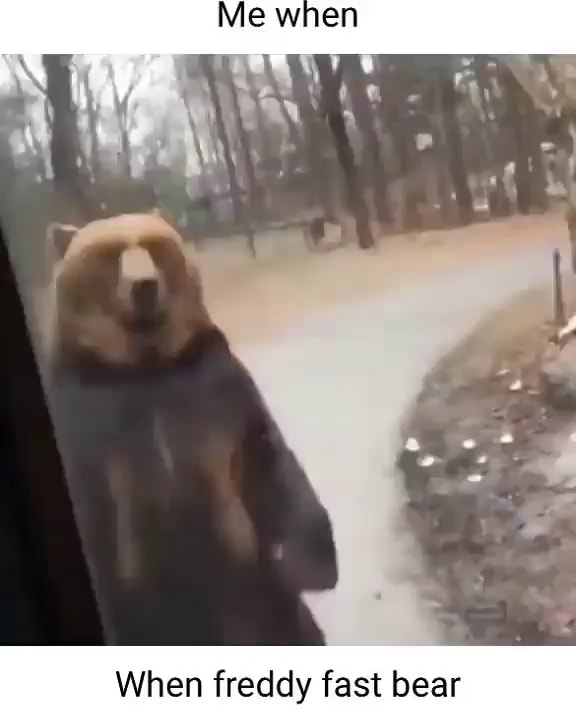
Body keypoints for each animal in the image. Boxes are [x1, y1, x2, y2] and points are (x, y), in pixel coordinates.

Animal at [42, 211, 338, 645]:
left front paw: (309, 558)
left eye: (152, 246)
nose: (145, 286)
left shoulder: (214, 382)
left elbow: (265, 452)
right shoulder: (90, 409)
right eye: (111, 253)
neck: (145, 362)